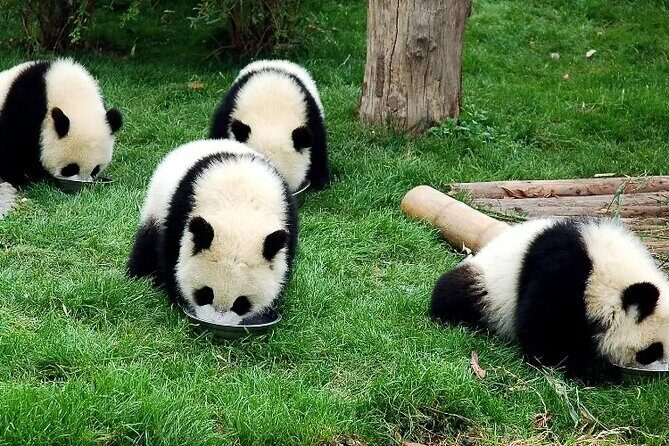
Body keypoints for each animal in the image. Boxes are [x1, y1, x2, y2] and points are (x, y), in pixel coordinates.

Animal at [0, 59, 122, 188]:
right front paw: (21, 179)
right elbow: (15, 145)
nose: (81, 184)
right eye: (71, 168)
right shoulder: (26, 107)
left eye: (95, 170)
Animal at [127, 139, 298, 323]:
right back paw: (140, 276)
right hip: (157, 205)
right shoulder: (181, 212)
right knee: (146, 244)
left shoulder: (287, 220)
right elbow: (172, 256)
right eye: (205, 293)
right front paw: (177, 298)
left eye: (241, 303)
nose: (216, 323)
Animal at [430, 217, 669, 381]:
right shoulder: (560, 275)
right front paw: (588, 369)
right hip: (487, 284)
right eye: (651, 351)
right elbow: (541, 327)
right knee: (457, 293)